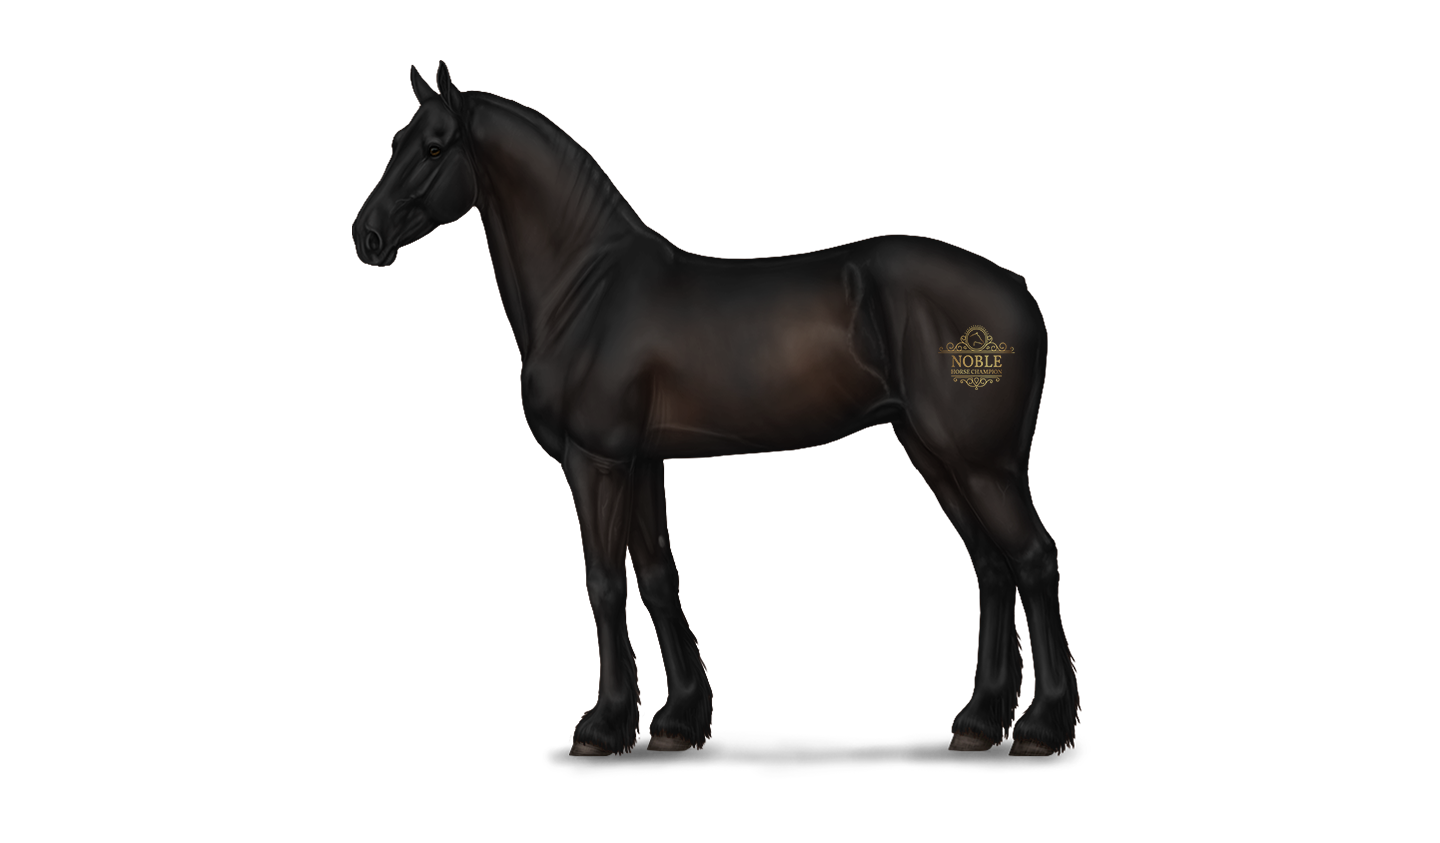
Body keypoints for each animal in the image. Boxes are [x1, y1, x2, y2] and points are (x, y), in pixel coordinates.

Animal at [353, 62, 1078, 756]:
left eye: (434, 145)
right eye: (392, 142)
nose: (369, 235)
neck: (587, 290)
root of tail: (1019, 292)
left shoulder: (597, 461)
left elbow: (605, 583)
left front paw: (603, 726)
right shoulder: (640, 461)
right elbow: (657, 576)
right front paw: (677, 719)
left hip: (982, 464)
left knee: (1033, 560)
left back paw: (1041, 727)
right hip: (930, 453)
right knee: (990, 566)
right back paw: (980, 720)